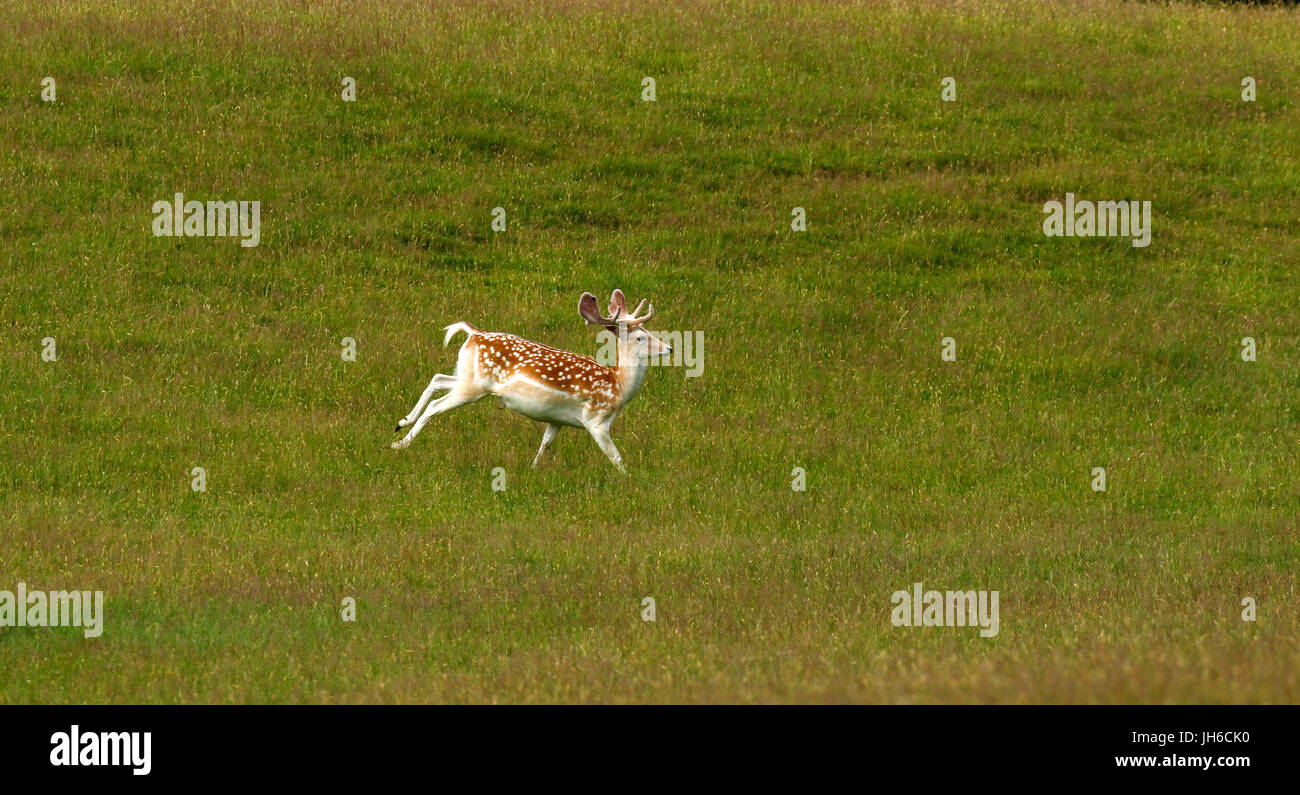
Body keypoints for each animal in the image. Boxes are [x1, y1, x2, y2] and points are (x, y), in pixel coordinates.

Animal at [390, 289, 671, 473]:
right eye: (640, 337)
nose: (668, 348)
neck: (616, 387)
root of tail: (473, 333)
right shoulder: (596, 420)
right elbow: (616, 457)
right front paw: (628, 479)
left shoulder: (557, 419)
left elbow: (545, 443)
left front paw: (532, 468)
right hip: (472, 388)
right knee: (436, 405)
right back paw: (401, 443)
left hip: (468, 378)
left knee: (437, 378)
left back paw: (401, 422)